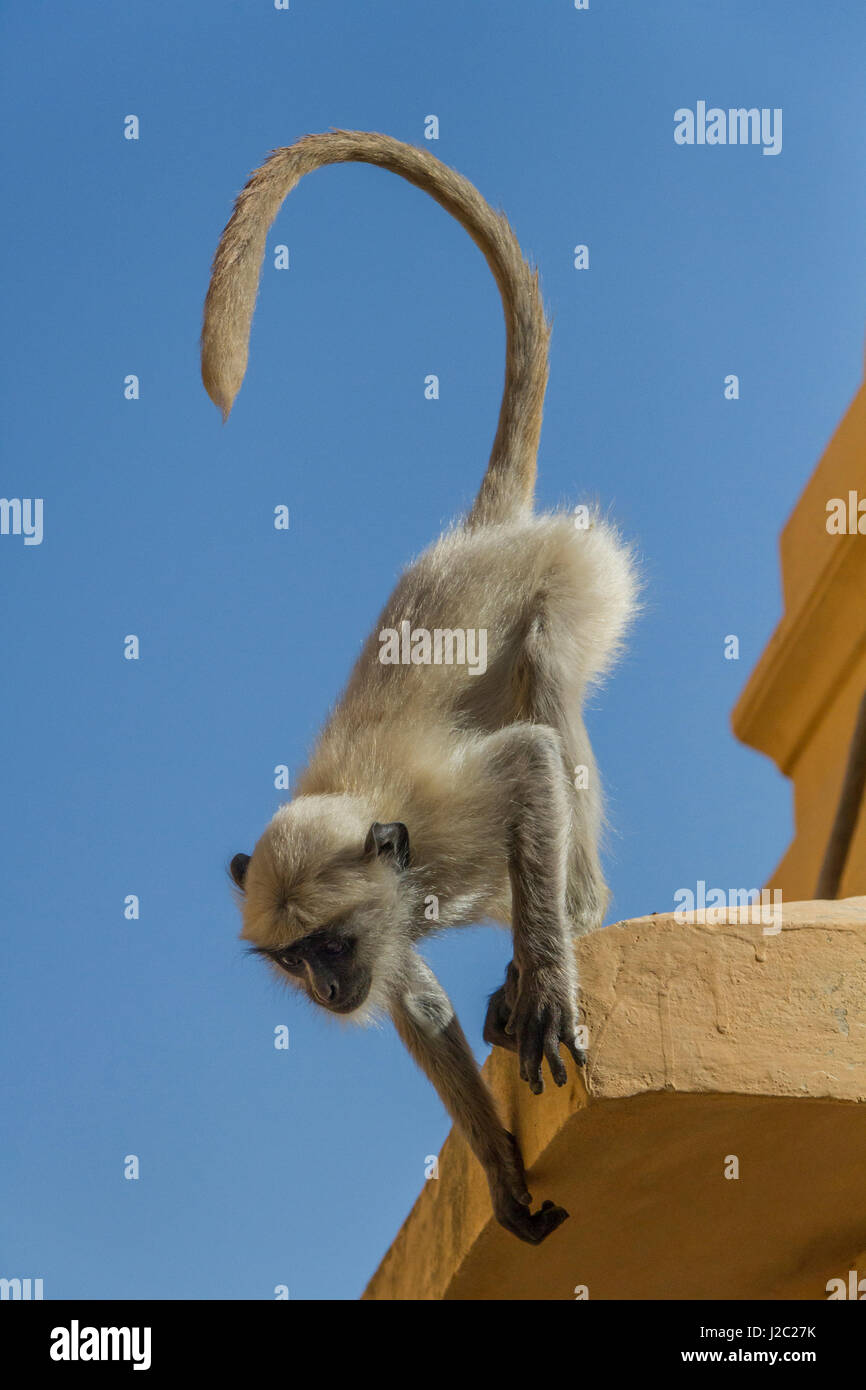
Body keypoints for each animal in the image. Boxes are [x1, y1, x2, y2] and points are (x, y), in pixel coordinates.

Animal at [202, 131, 639, 1245]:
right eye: (293, 958)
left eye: (328, 943)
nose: (323, 987)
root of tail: (476, 537)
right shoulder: (392, 910)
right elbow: (414, 1001)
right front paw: (499, 1169)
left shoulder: (437, 824)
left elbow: (530, 759)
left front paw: (546, 979)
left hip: (579, 574)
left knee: (548, 672)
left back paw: (569, 924)